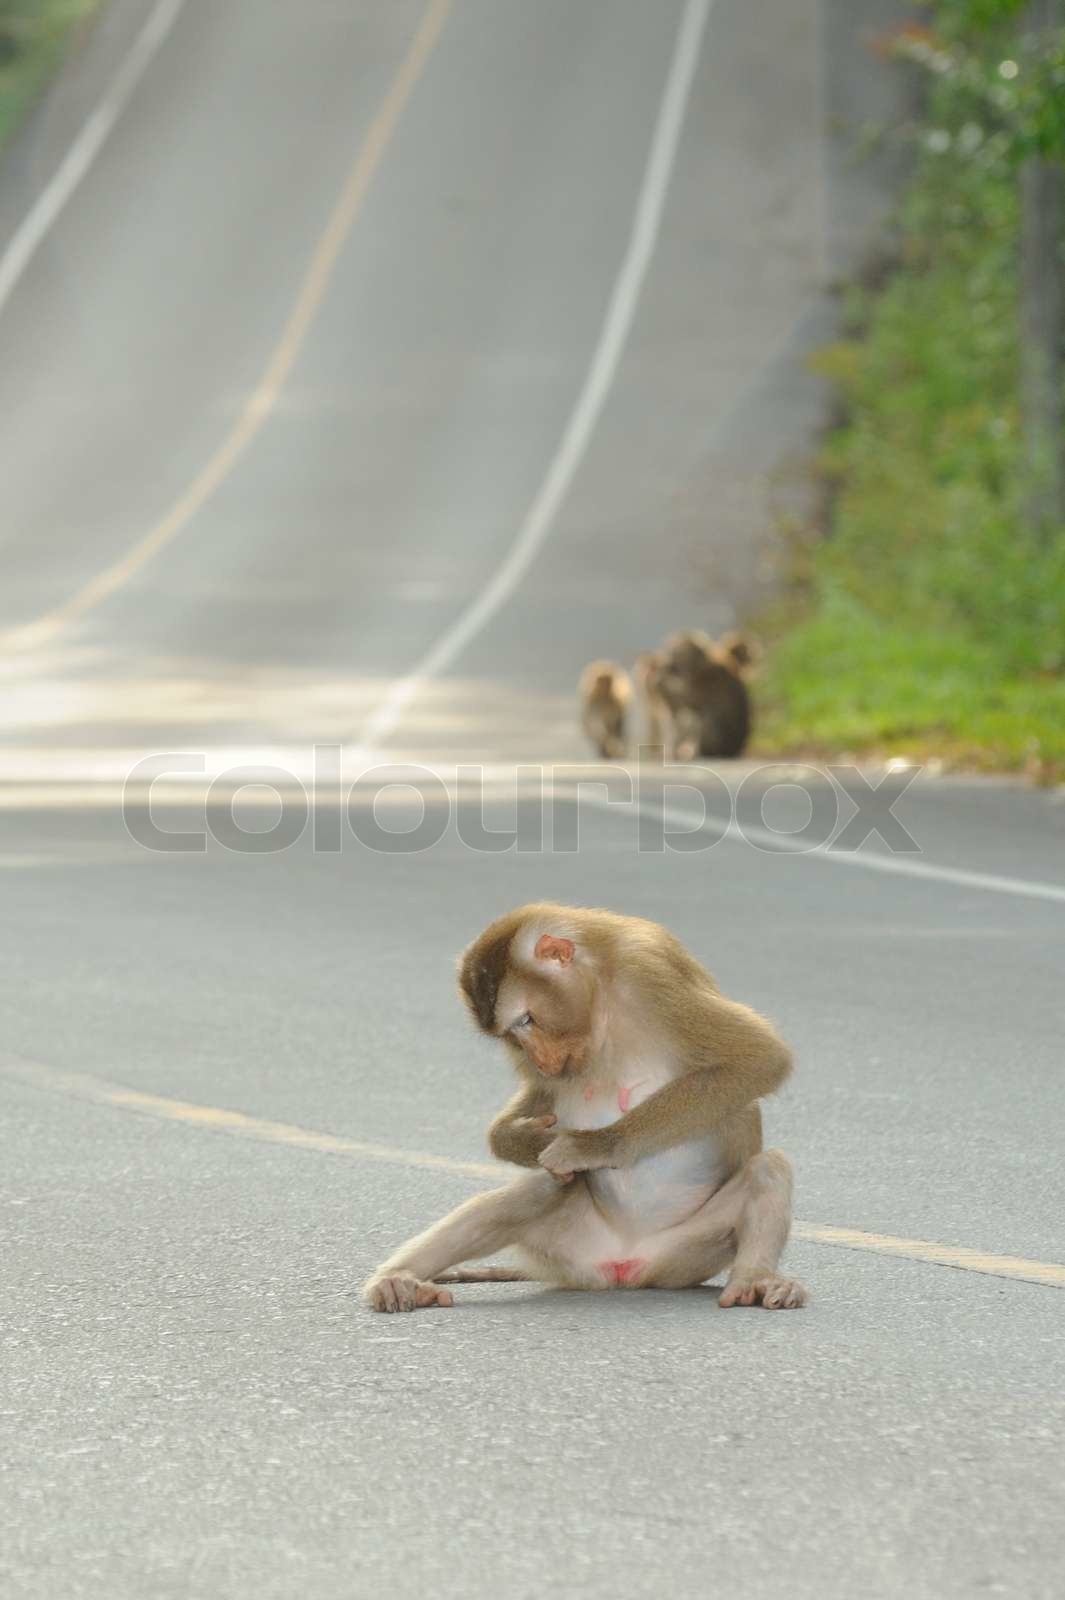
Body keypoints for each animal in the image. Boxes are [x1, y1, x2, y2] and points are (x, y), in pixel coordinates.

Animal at [363, 904, 807, 1314]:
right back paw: (398, 1278)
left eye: (527, 1019)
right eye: (511, 1035)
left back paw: (756, 1279)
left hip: (690, 1253)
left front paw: (592, 1146)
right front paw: (521, 1138)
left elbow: (760, 1058)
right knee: (541, 1191)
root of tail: (624, 1265)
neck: (602, 1000)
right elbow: (541, 1096)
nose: (538, 1058)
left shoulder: (652, 971)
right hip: (566, 1249)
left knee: (769, 1168)